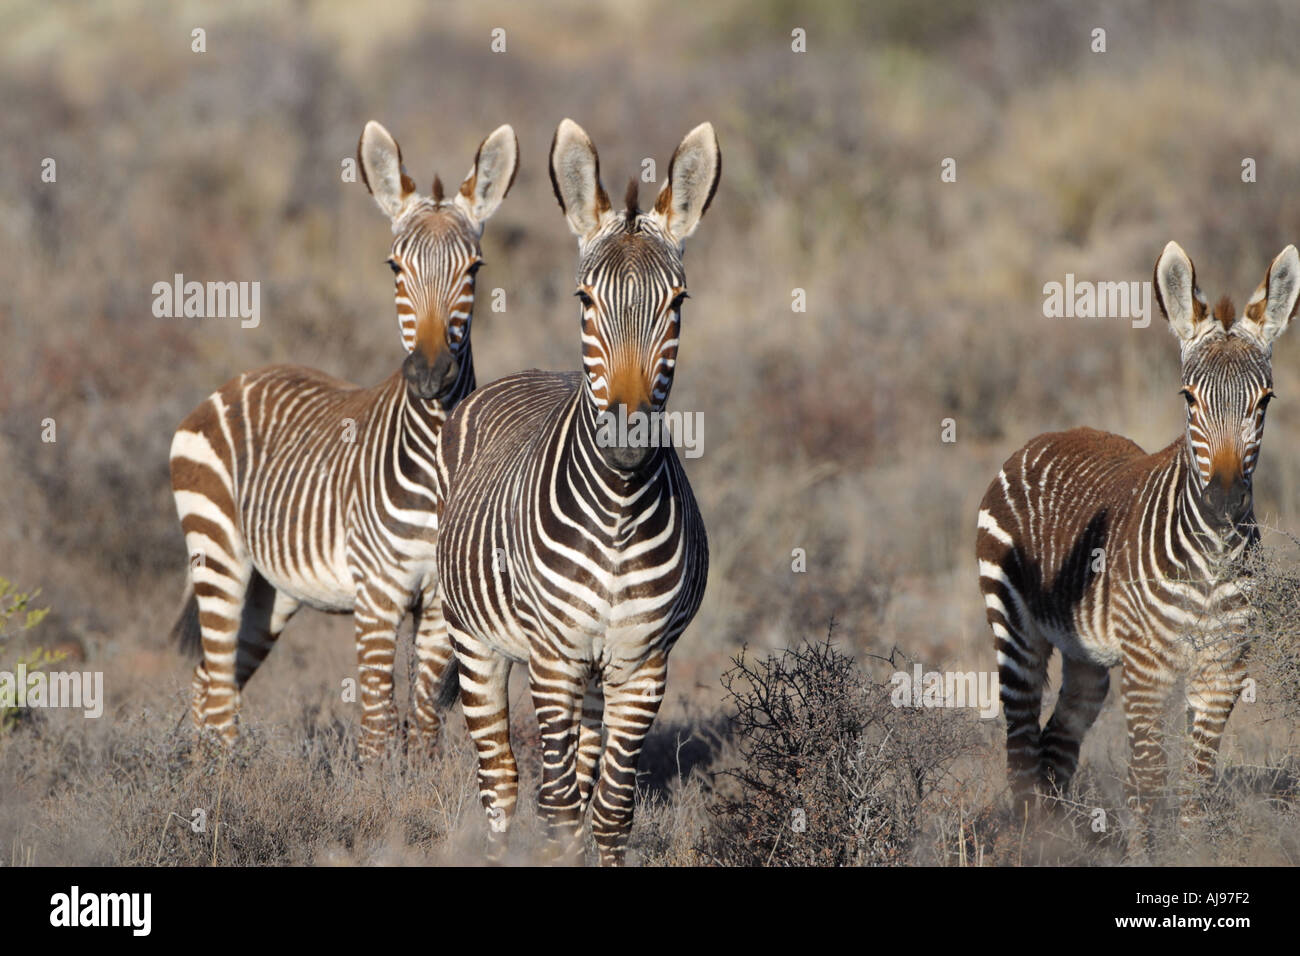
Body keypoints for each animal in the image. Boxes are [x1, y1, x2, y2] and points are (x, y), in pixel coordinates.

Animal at [169, 120, 518, 760]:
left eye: (474, 270)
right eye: (394, 268)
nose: (430, 374)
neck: (433, 455)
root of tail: (234, 381)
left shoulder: (438, 603)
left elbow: (424, 719)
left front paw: (418, 786)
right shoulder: (377, 593)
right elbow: (378, 724)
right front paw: (377, 788)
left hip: (271, 590)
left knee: (212, 679)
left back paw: (208, 770)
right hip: (217, 550)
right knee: (218, 677)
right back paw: (221, 775)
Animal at [433, 119, 718, 865]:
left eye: (677, 303)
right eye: (584, 300)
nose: (625, 439)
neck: (616, 513)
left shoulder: (643, 664)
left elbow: (610, 812)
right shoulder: (553, 657)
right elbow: (558, 811)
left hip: (597, 672)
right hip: (476, 643)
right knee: (500, 781)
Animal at [977, 241, 1298, 853]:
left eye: (1264, 402)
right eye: (1188, 398)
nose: (1224, 501)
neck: (1212, 561)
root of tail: (1047, 436)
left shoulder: (1224, 668)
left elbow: (1197, 782)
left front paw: (1193, 854)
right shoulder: (1147, 668)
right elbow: (1147, 780)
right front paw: (1147, 855)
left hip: (1086, 657)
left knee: (1056, 743)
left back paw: (1059, 841)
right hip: (1017, 634)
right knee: (1020, 746)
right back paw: (1033, 843)